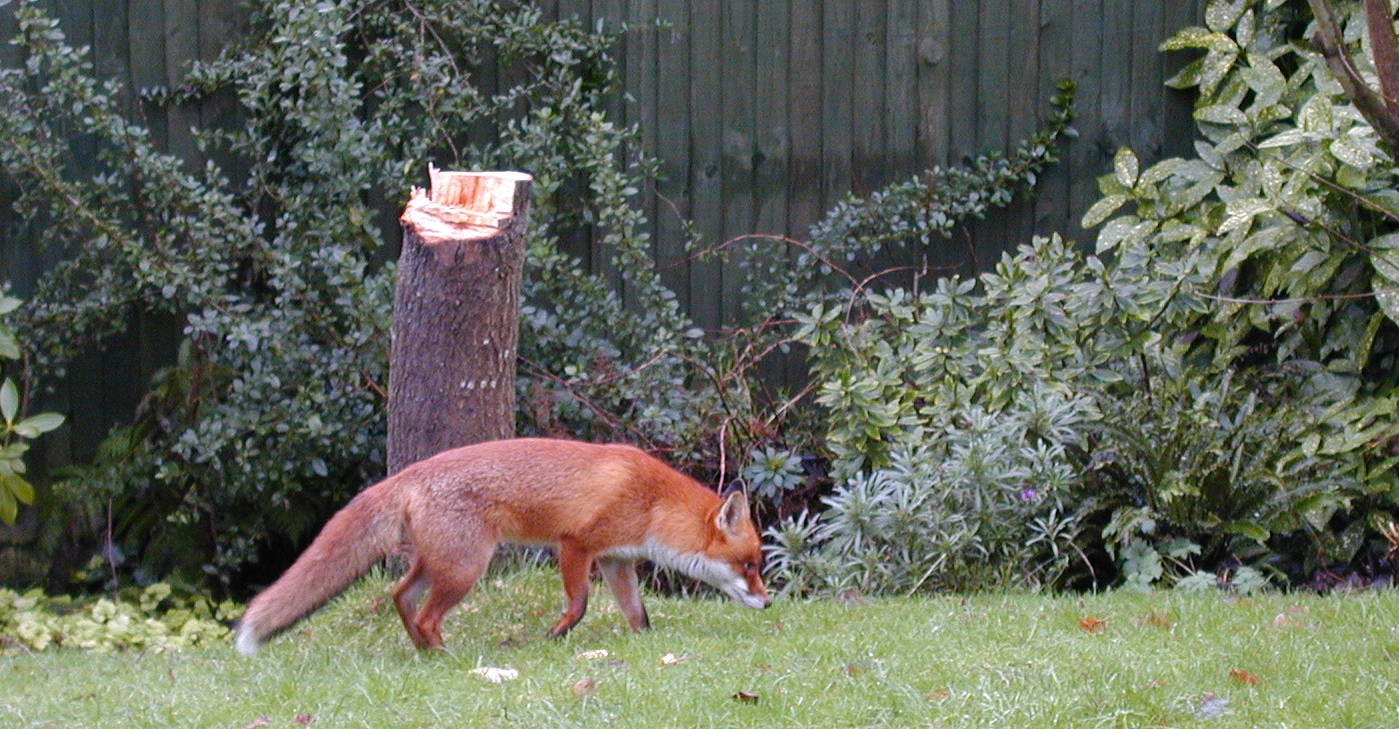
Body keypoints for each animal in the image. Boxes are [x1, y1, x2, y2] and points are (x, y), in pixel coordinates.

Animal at [234, 438, 770, 654]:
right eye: (748, 564)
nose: (768, 603)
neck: (649, 501)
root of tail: (408, 474)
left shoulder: (617, 561)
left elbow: (639, 615)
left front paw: (646, 644)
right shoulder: (574, 546)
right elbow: (579, 604)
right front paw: (556, 635)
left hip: (441, 565)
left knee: (400, 597)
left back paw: (426, 652)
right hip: (466, 568)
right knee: (424, 613)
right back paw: (444, 657)